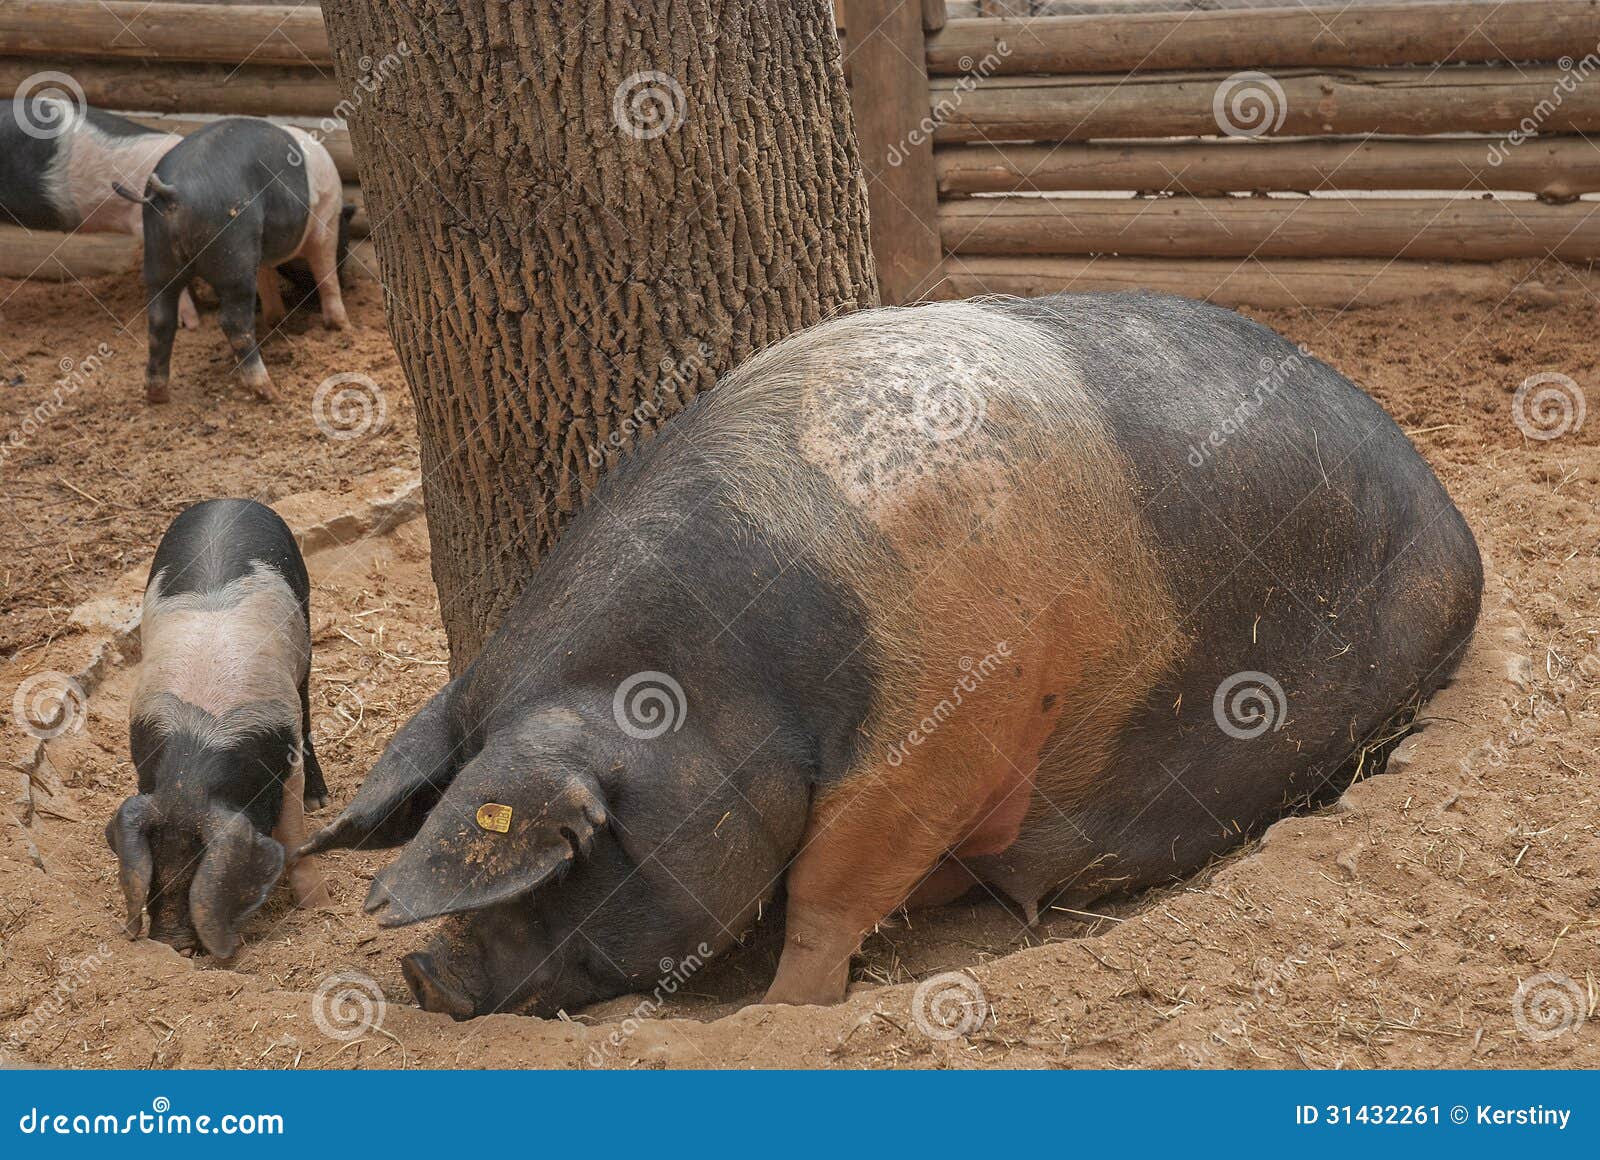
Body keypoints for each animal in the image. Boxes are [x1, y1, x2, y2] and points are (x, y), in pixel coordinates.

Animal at [108, 498, 329, 957]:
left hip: (305, 621)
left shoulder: (284, 749)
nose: (171, 943)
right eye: (154, 873)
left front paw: (320, 905)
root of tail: (227, 501)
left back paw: (320, 799)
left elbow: (294, 829)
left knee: (307, 702)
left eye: (199, 870)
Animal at [115, 118, 348, 404]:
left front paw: (278, 321)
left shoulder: (261, 254)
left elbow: (267, 280)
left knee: (160, 319)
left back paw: (157, 395)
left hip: (159, 256)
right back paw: (271, 393)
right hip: (234, 254)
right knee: (233, 321)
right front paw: (344, 328)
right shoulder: (325, 223)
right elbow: (326, 275)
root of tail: (171, 192)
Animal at [302, 292, 1482, 1017]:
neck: (724, 686)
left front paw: (784, 1010)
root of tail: (1454, 519)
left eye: (577, 853)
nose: (424, 969)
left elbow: (831, 887)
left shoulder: (944, 742)